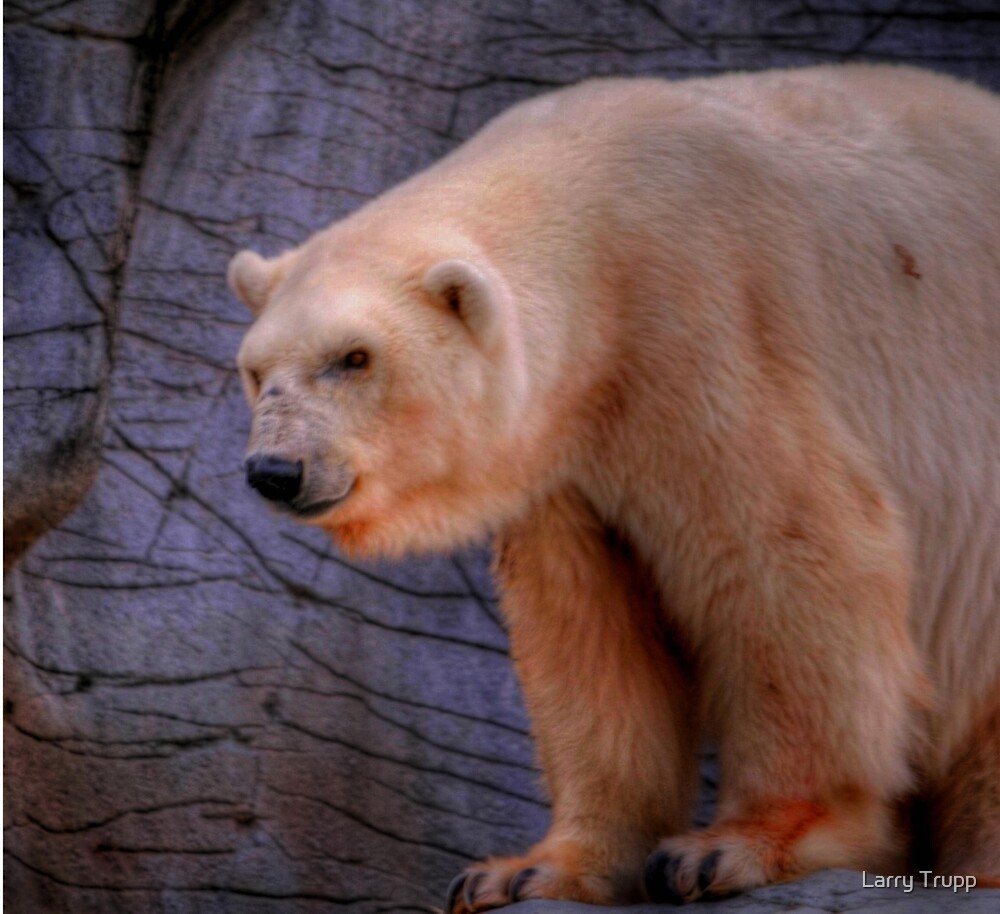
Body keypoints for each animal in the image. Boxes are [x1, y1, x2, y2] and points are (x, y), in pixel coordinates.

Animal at [229, 64, 1000, 907]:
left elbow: (792, 560)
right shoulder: (575, 454)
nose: (276, 471)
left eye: (355, 358)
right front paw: (527, 870)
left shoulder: (712, 329)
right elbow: (588, 628)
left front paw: (734, 847)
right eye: (256, 371)